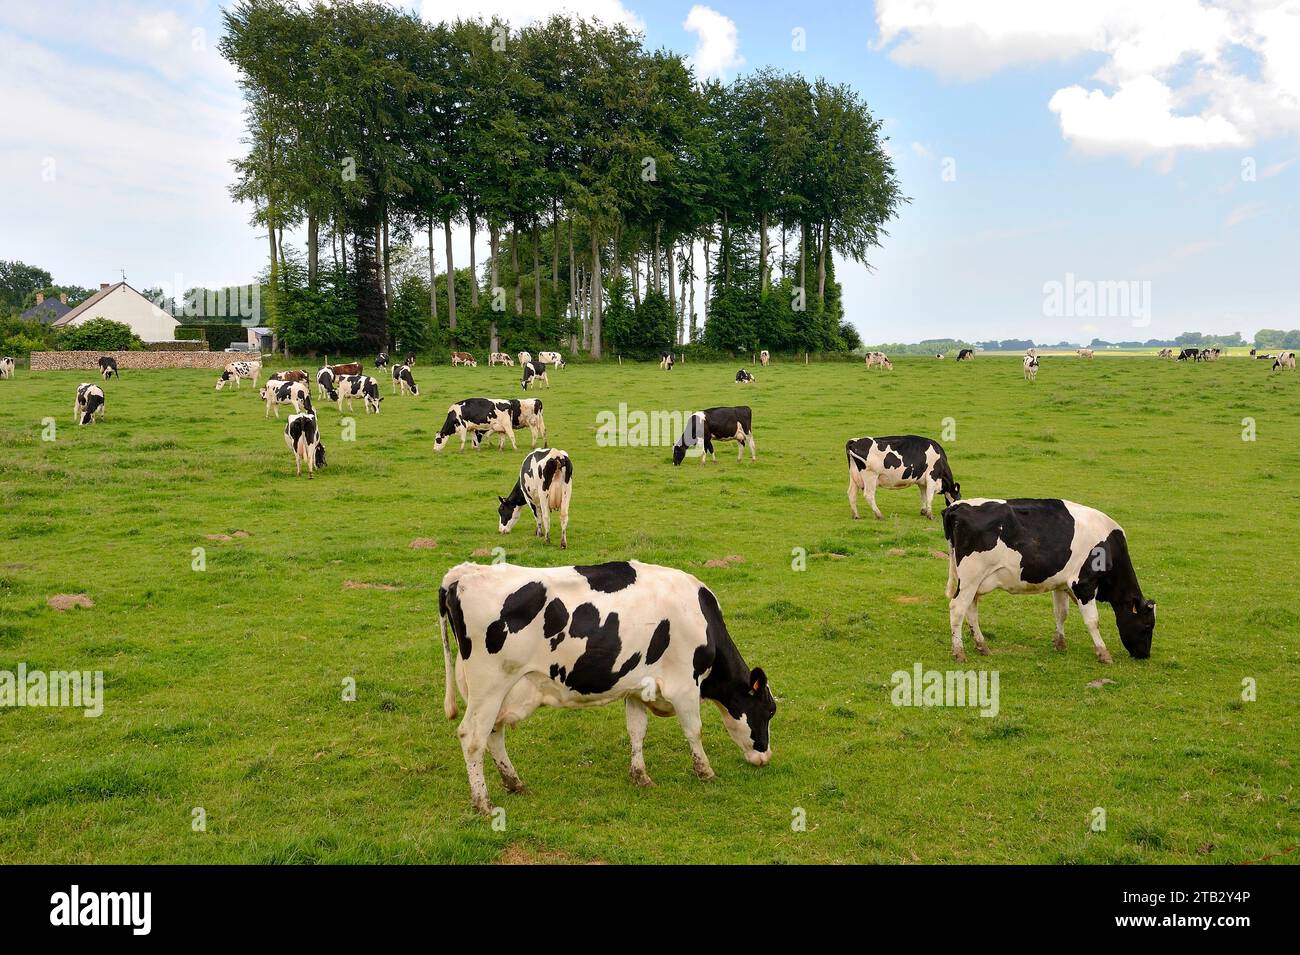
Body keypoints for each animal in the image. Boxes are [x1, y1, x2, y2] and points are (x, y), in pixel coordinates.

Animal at [437, 559, 776, 814]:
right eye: (769, 710)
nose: (765, 757)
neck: (700, 616)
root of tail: (463, 573)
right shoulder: (684, 685)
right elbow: (694, 730)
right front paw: (705, 772)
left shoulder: (637, 687)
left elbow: (637, 731)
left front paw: (640, 776)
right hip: (489, 685)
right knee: (472, 737)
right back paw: (482, 803)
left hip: (500, 691)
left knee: (494, 734)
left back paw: (515, 783)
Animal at [942, 498, 1155, 664]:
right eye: (1147, 626)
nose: (1144, 655)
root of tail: (957, 506)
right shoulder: (1084, 584)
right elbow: (1093, 620)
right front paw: (1103, 653)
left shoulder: (1061, 584)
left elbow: (1061, 613)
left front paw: (1060, 643)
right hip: (970, 578)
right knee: (957, 608)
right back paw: (959, 652)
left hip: (975, 582)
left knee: (971, 609)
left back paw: (982, 646)